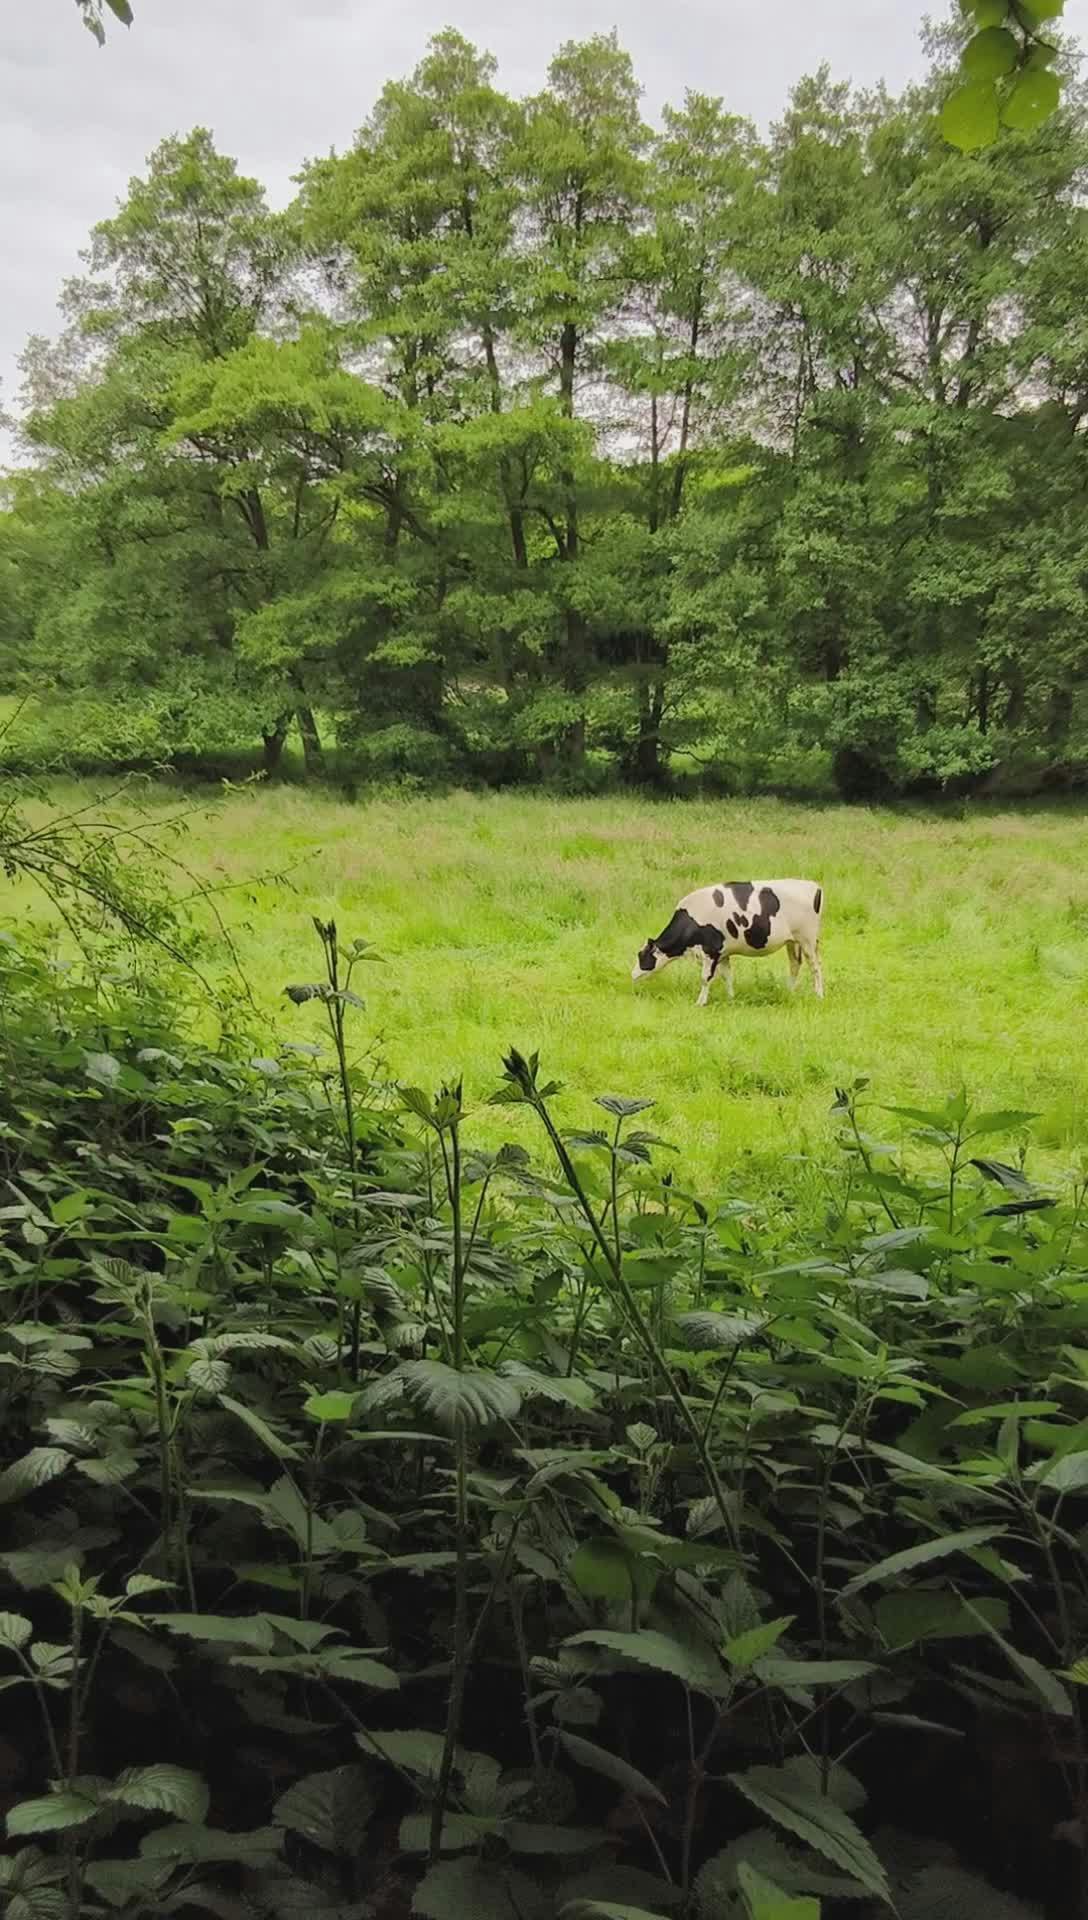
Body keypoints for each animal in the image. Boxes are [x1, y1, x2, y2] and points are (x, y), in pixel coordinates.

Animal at [632, 879, 825, 1007]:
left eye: (641, 956)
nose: (632, 975)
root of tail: (814, 885)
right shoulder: (723, 953)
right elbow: (727, 976)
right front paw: (731, 998)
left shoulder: (711, 951)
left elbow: (705, 978)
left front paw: (700, 1002)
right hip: (792, 941)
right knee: (795, 964)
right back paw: (790, 991)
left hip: (807, 939)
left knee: (815, 967)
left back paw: (819, 994)